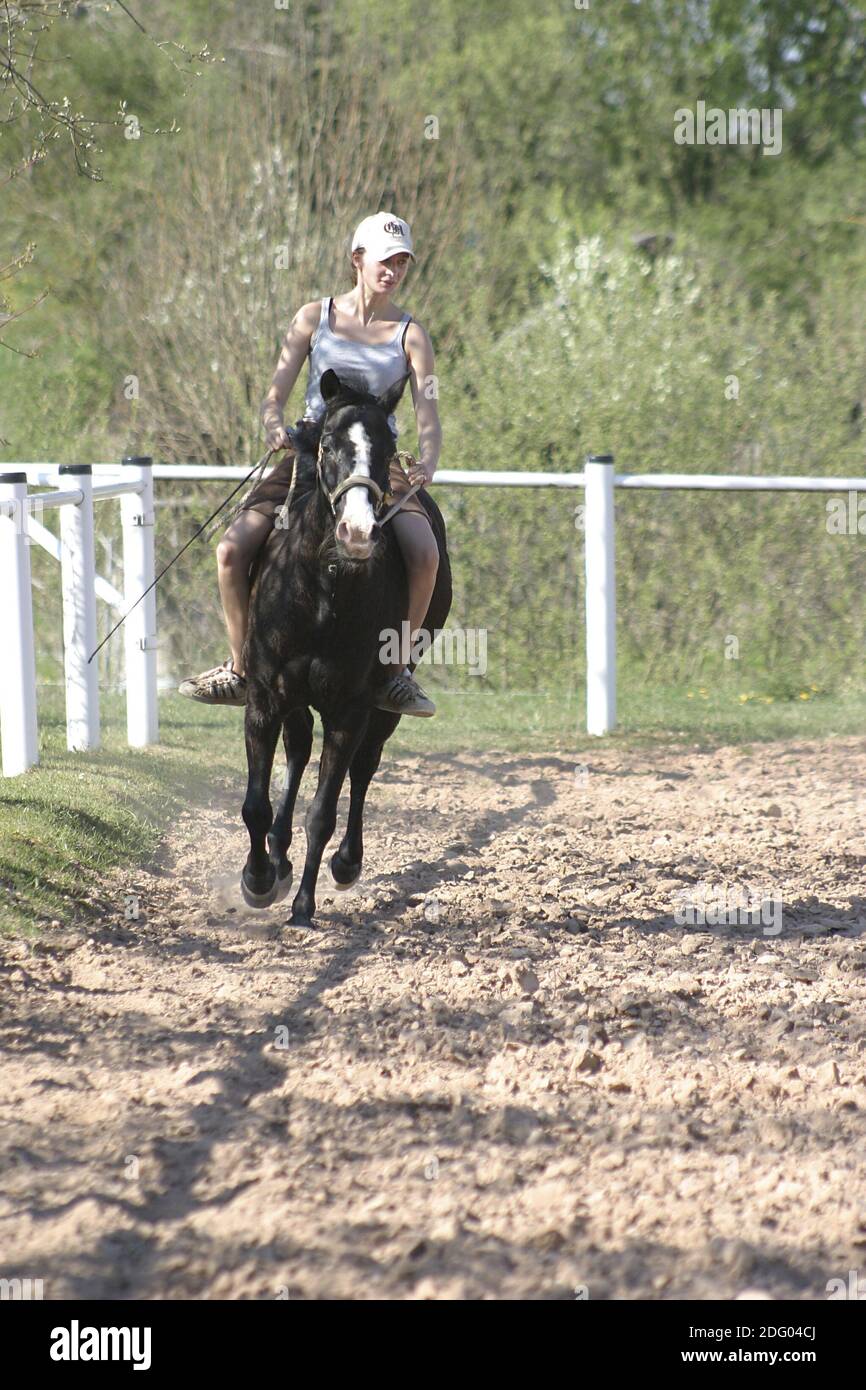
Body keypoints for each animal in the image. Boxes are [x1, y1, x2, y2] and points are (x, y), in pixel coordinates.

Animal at [240, 367, 452, 927]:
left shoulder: (351, 710)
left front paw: (303, 906)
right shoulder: (264, 698)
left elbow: (324, 810)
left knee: (364, 766)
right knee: (296, 750)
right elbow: (255, 803)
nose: (357, 532)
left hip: (381, 703)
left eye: (389, 446)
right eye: (329, 442)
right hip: (293, 699)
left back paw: (344, 863)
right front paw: (258, 880)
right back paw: (277, 856)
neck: (323, 586)